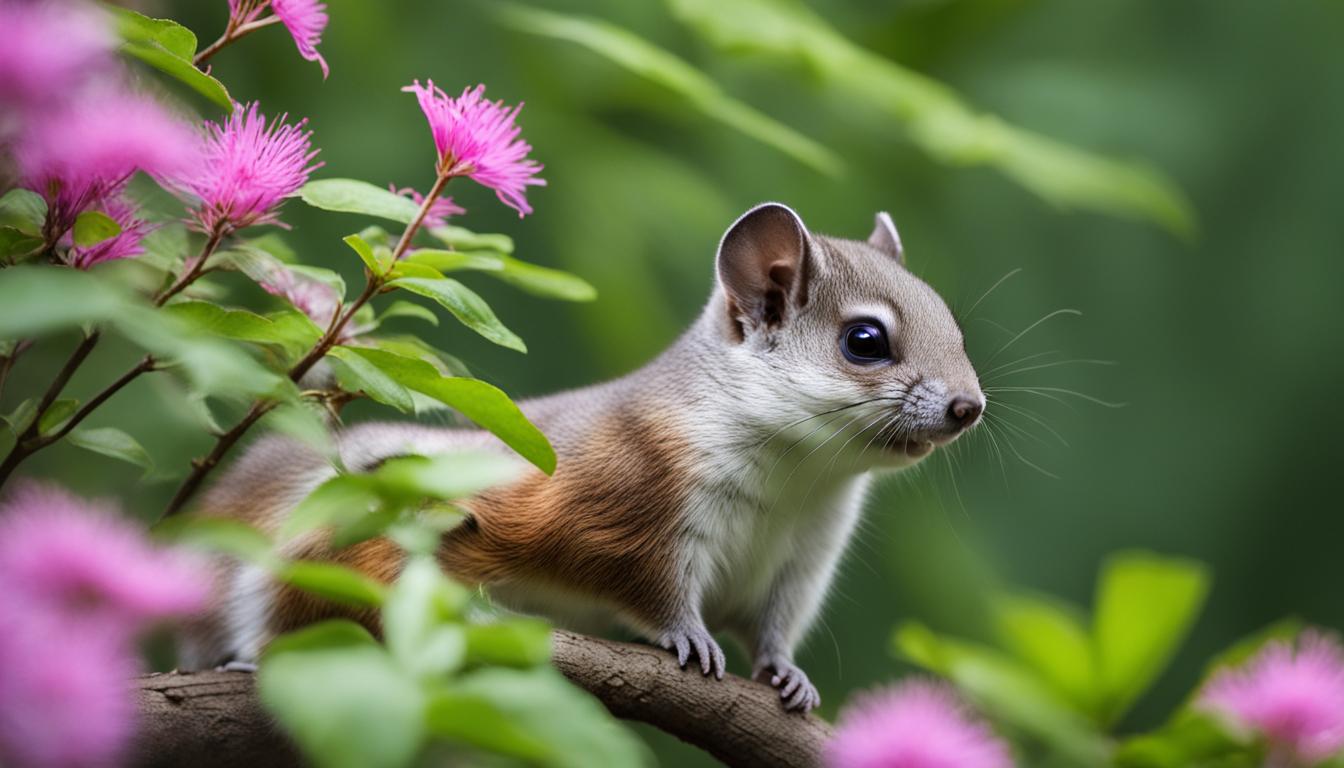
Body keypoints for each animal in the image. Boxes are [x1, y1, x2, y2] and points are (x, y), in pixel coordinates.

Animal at [180, 202, 984, 712]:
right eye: (865, 341)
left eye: (954, 324)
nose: (968, 407)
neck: (800, 476)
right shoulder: (627, 506)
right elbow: (647, 585)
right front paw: (689, 637)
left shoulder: (801, 561)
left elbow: (773, 627)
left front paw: (788, 674)